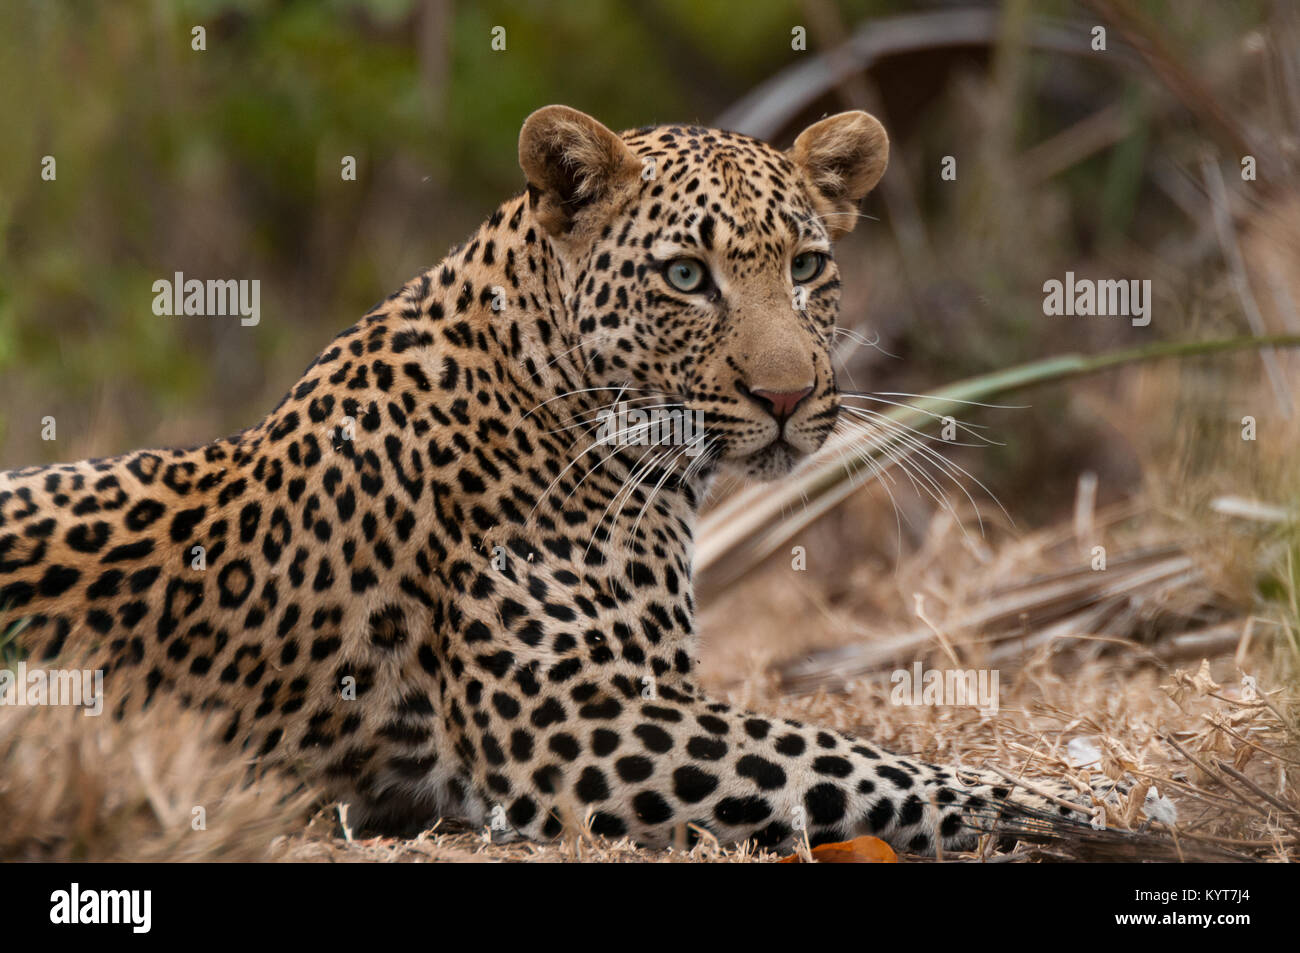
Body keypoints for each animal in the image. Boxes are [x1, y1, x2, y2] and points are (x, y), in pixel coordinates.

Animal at [0, 105, 1101, 855]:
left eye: (805, 266)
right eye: (686, 276)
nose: (789, 394)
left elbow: (841, 748)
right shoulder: (576, 722)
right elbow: (843, 758)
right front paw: (1058, 804)